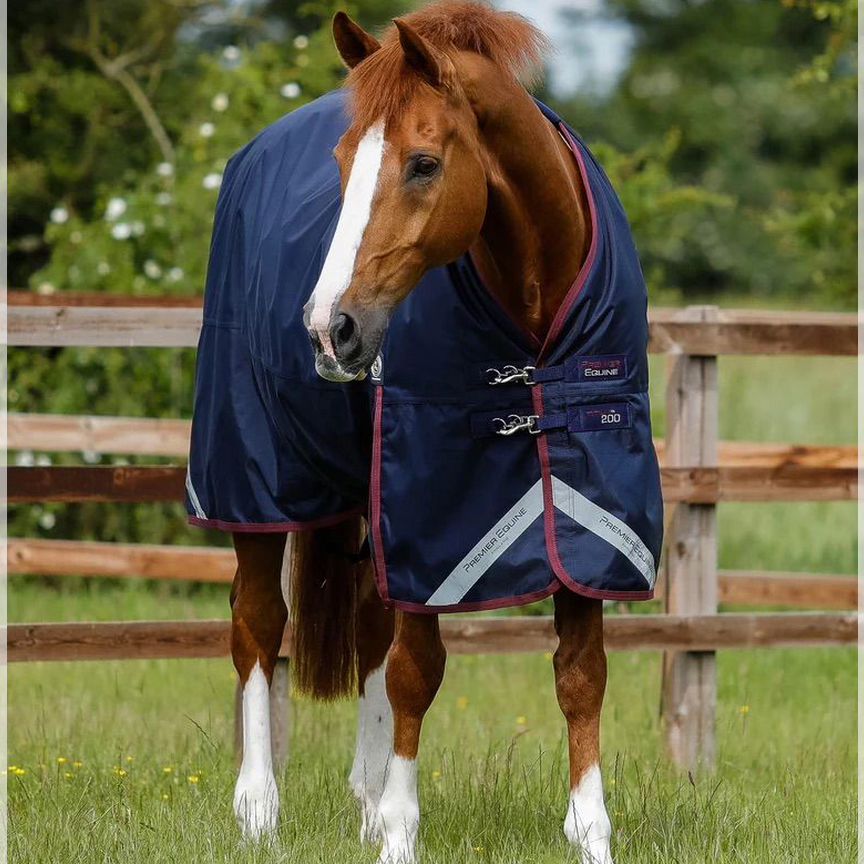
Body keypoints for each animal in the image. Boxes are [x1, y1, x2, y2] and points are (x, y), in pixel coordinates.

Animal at [191, 4, 663, 862]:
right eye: (344, 160)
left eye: (421, 164)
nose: (329, 327)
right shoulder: (430, 509)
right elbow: (419, 668)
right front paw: (401, 835)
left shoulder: (591, 513)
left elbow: (581, 673)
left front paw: (591, 835)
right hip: (254, 480)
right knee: (258, 627)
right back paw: (259, 810)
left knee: (370, 629)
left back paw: (364, 800)